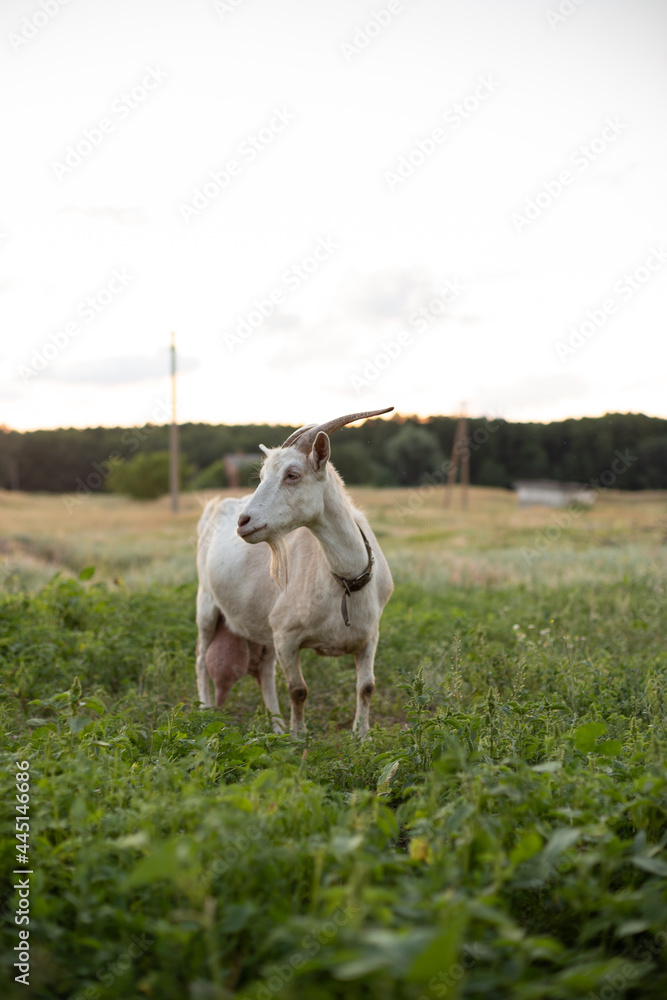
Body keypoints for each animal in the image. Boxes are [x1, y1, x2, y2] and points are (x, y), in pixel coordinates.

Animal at [195, 408, 394, 737]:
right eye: (262, 477)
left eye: (292, 474)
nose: (243, 522)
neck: (345, 581)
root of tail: (215, 506)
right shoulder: (286, 635)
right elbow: (298, 690)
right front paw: (299, 737)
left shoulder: (370, 636)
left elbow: (367, 687)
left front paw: (362, 736)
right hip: (207, 604)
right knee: (201, 657)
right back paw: (205, 712)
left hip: (262, 622)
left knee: (264, 671)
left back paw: (276, 727)